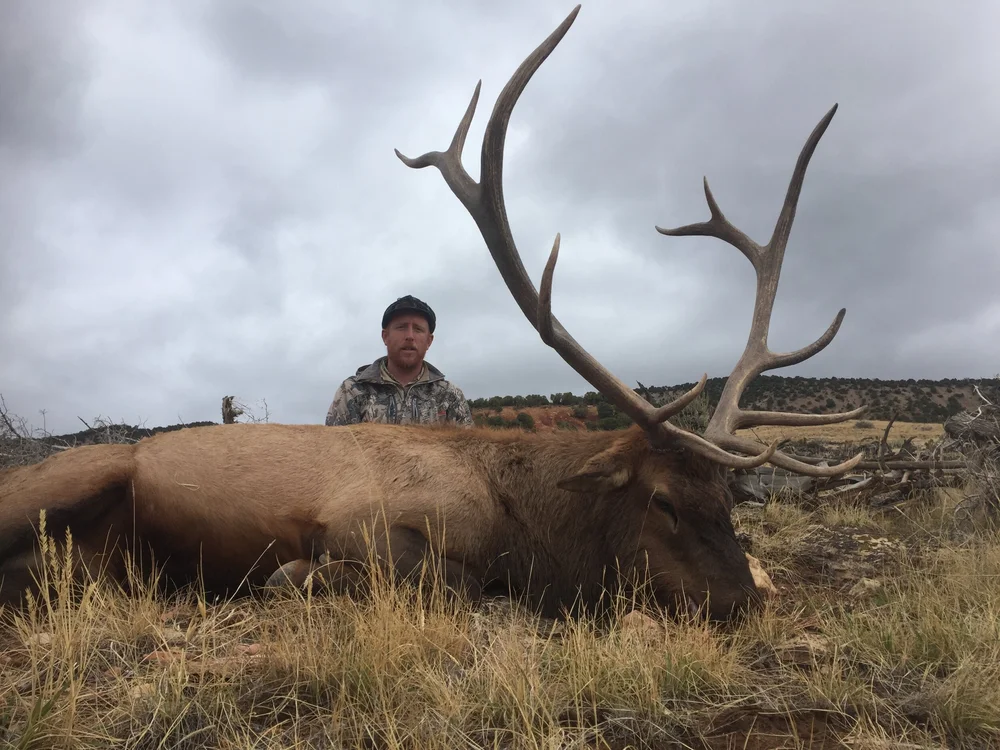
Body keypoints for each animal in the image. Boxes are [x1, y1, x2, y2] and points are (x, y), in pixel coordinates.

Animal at [0, 4, 864, 622]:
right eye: (662, 500)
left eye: (728, 502)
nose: (744, 604)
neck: (525, 528)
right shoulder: (363, 525)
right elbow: (437, 583)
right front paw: (292, 578)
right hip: (70, 476)